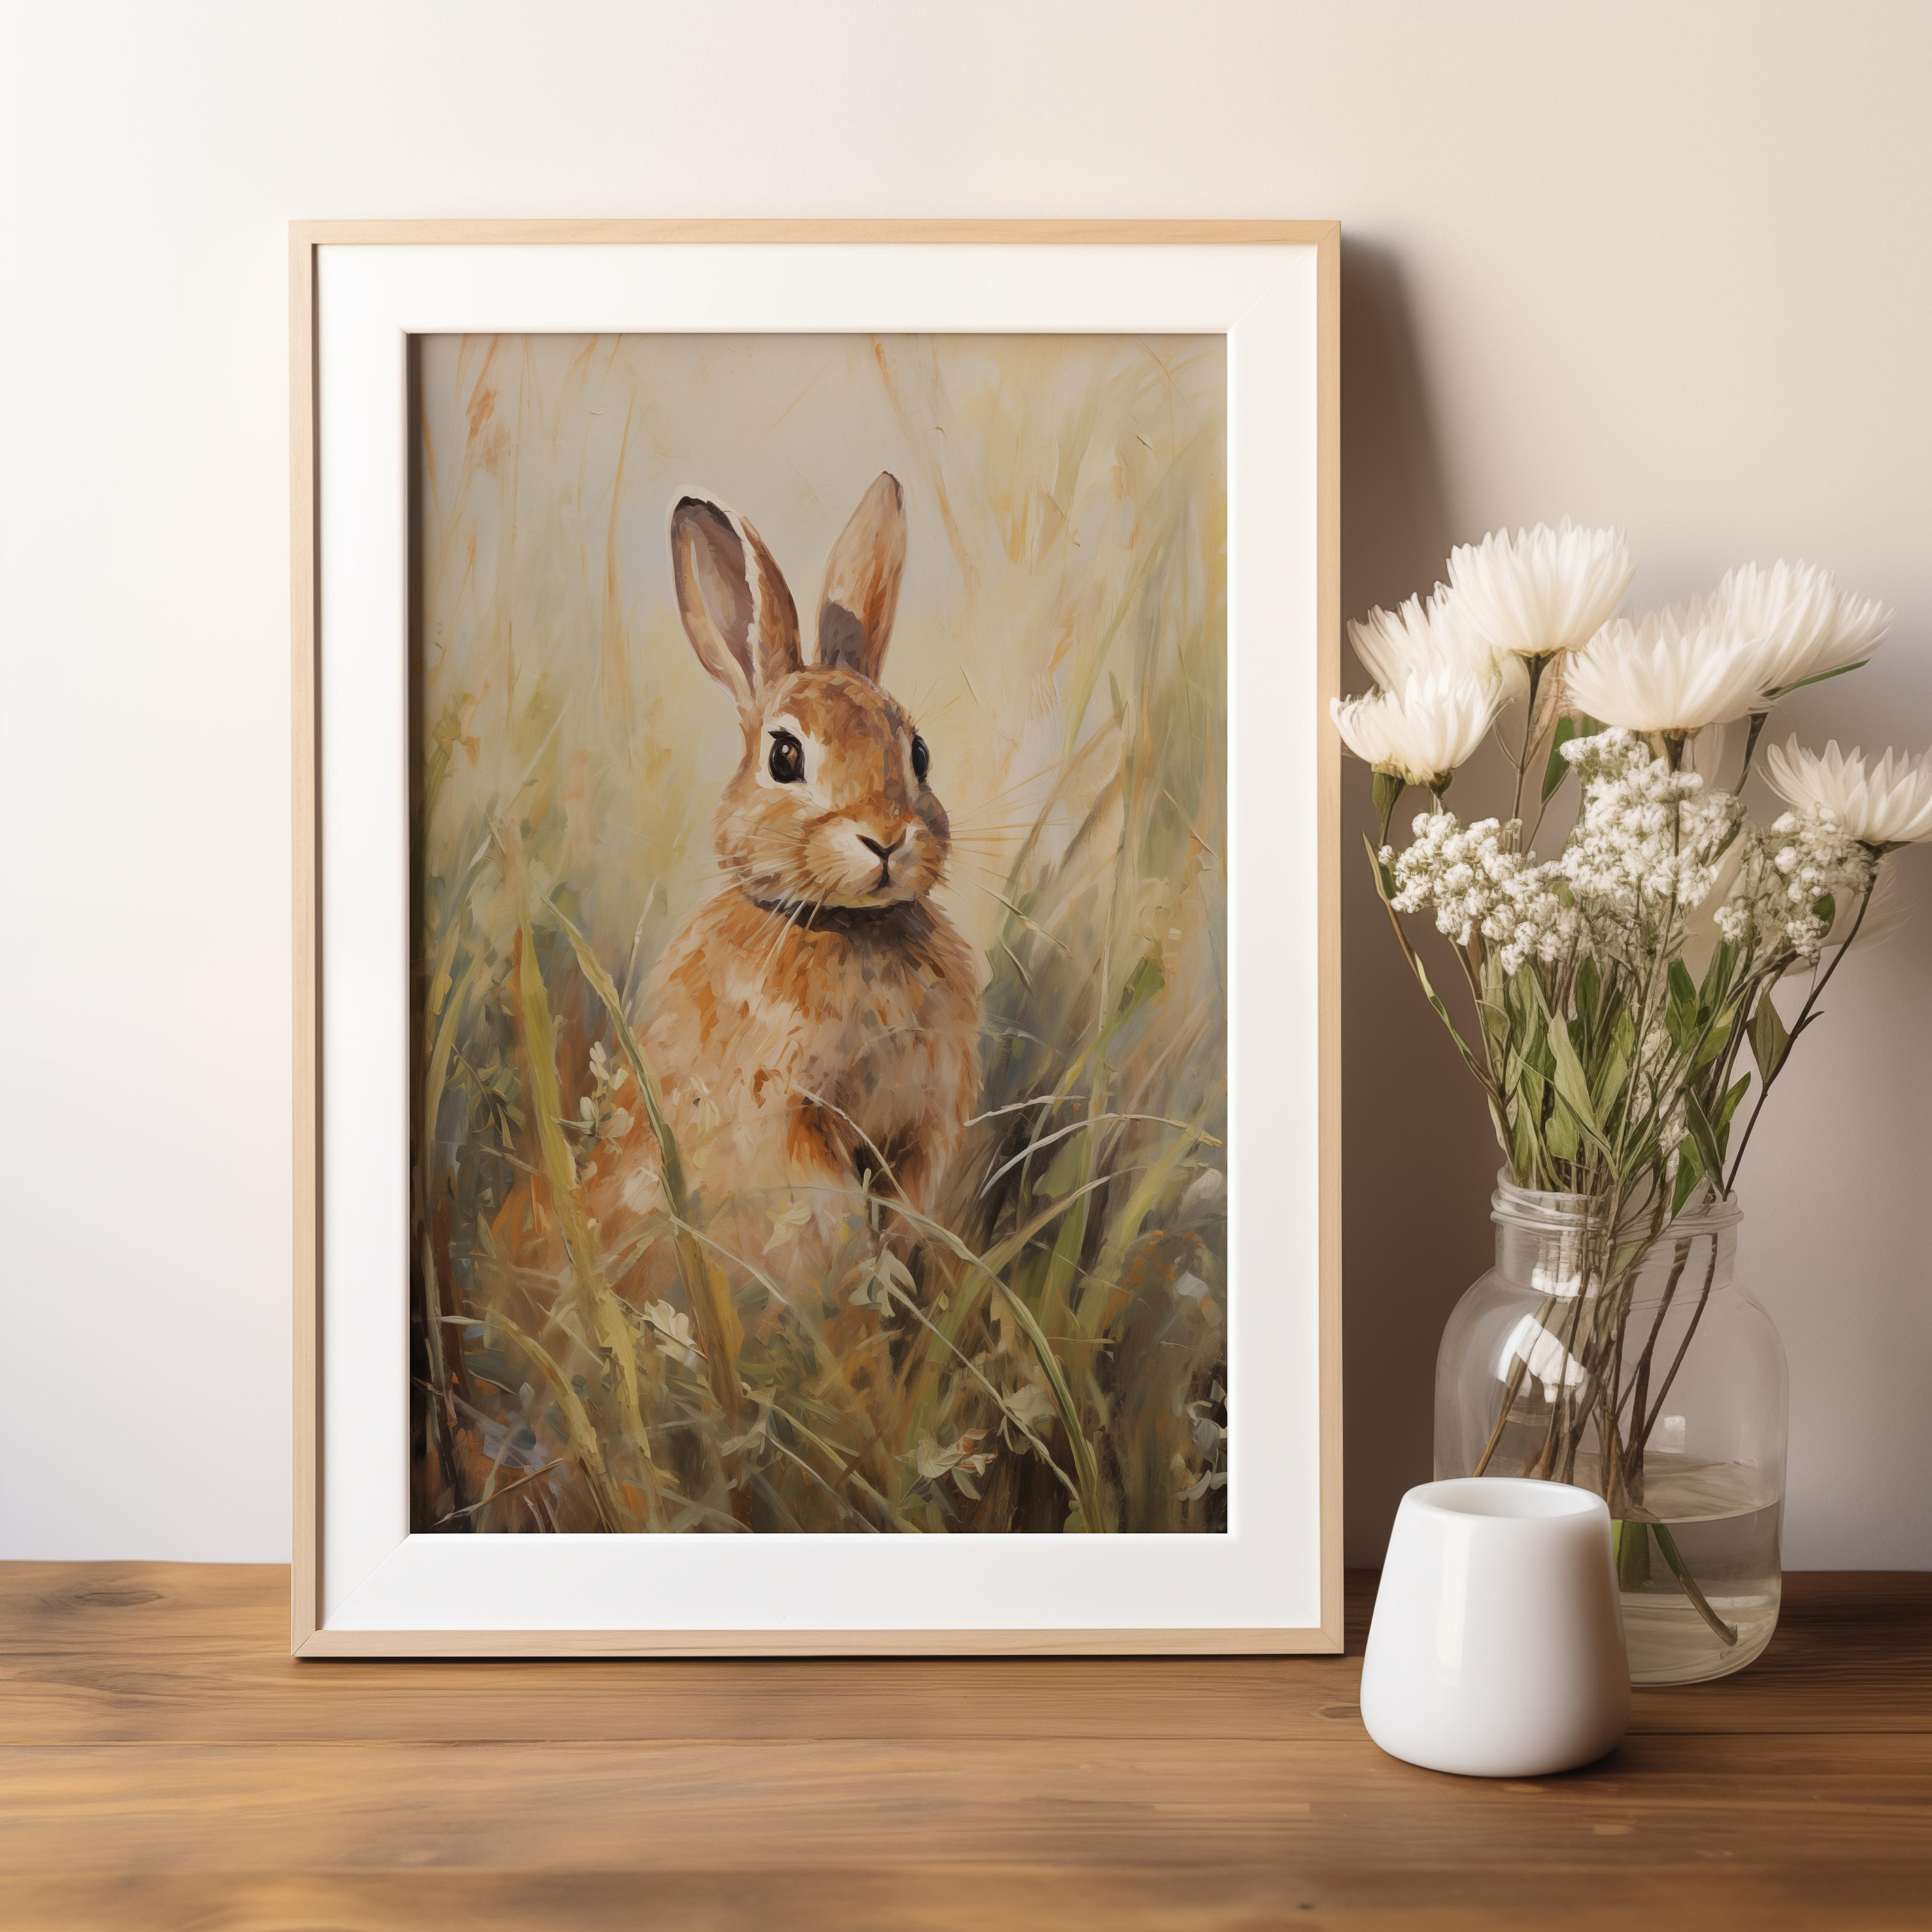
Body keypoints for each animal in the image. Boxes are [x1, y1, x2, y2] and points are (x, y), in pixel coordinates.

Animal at [604, 474, 980, 1268]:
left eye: (920, 753)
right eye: (784, 757)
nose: (885, 839)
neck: (848, 929)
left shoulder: (927, 1127)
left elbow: (908, 1205)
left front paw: (895, 1271)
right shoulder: (782, 1118)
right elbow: (824, 1202)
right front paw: (865, 1270)